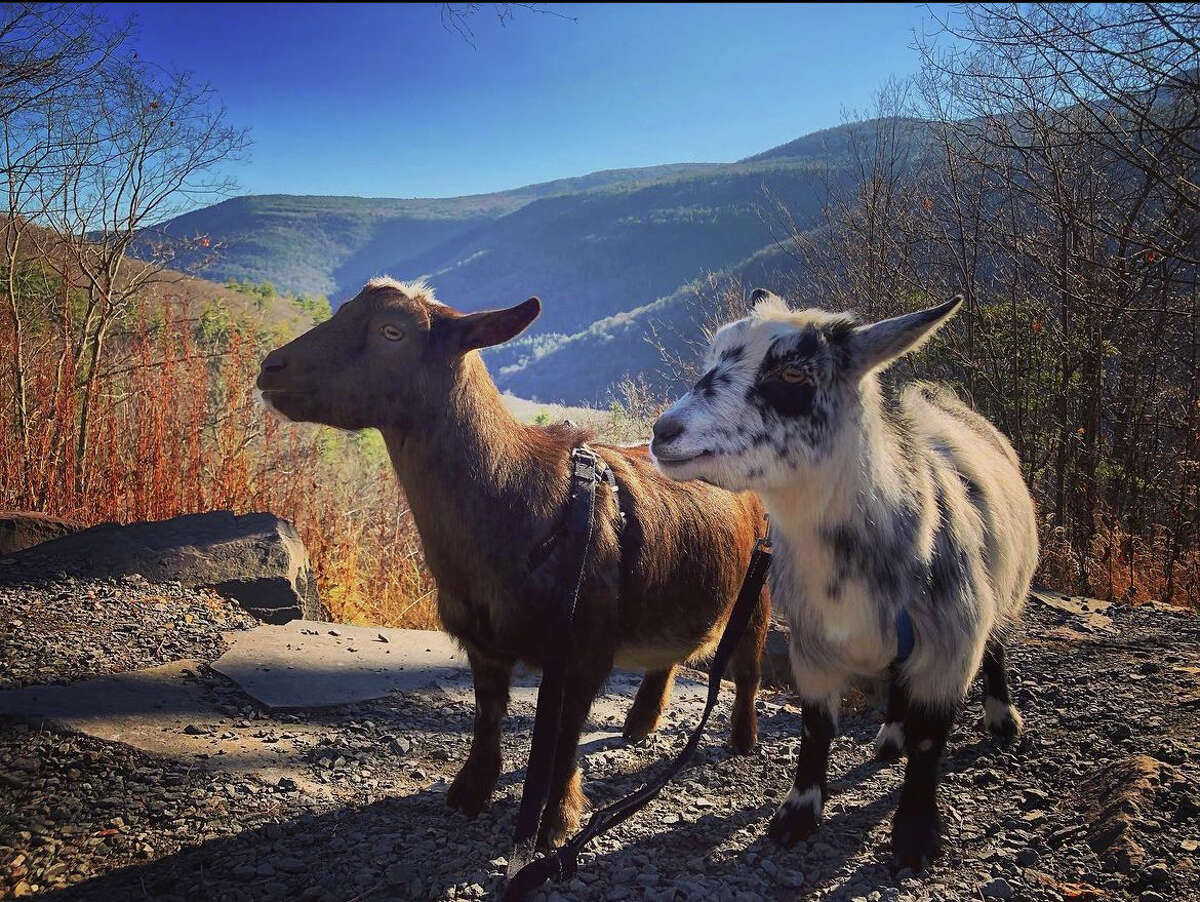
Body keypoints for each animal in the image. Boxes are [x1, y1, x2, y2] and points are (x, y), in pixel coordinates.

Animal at [257, 277, 770, 847]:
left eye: (393, 332)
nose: (270, 368)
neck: (524, 503)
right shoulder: (483, 641)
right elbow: (487, 715)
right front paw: (469, 793)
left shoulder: (584, 650)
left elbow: (565, 736)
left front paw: (558, 820)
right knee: (671, 651)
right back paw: (640, 723)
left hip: (758, 581)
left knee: (749, 659)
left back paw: (742, 738)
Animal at [649, 290, 1038, 869]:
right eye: (711, 358)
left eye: (791, 374)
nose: (664, 432)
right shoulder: (812, 646)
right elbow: (817, 728)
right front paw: (797, 814)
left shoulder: (950, 646)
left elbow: (931, 740)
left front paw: (915, 835)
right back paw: (891, 735)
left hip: (997, 594)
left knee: (996, 646)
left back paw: (1000, 718)